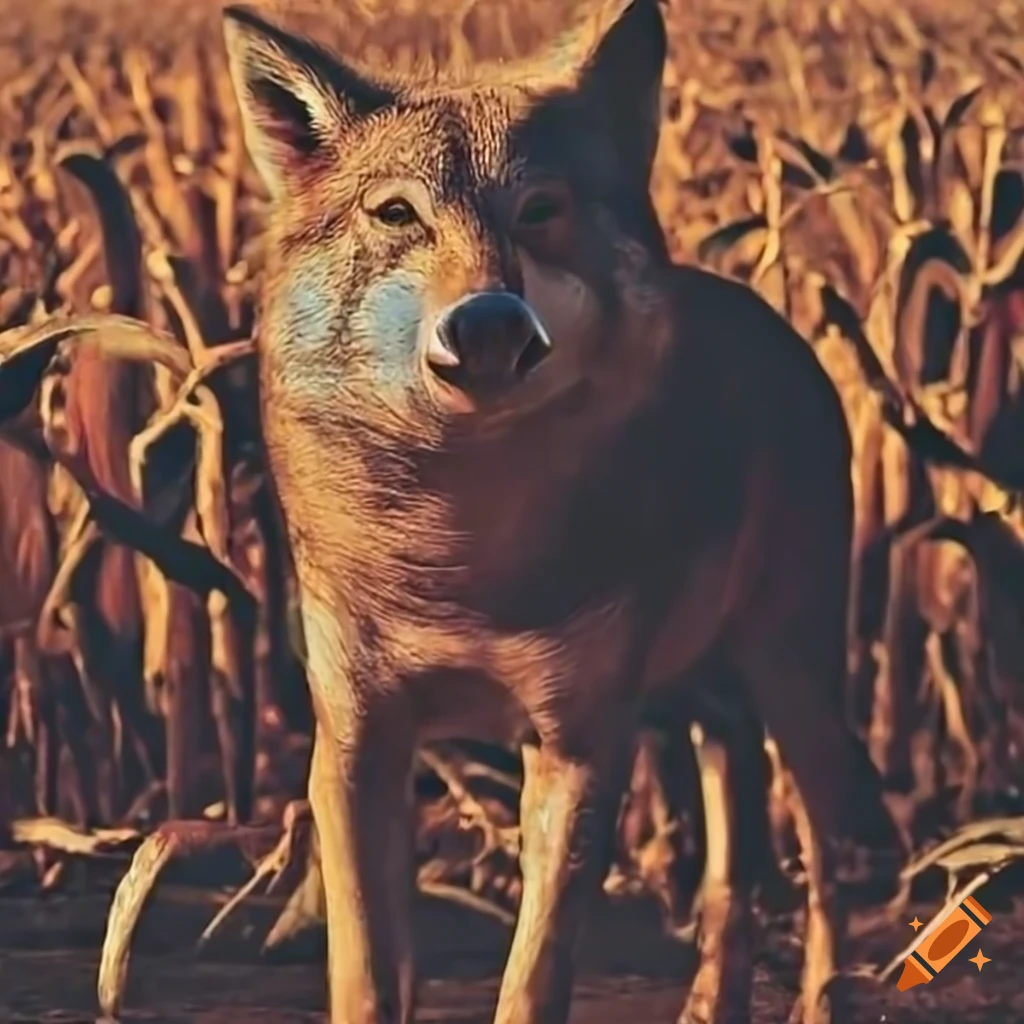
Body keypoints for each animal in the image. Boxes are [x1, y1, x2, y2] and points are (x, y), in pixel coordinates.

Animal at [222, 2, 901, 1021]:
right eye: (398, 214)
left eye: (539, 212)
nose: (488, 326)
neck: (461, 545)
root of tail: (769, 318)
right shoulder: (354, 747)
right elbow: (366, 975)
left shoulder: (579, 748)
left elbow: (535, 974)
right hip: (697, 696)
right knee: (732, 847)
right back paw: (712, 1001)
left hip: (793, 685)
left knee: (826, 864)